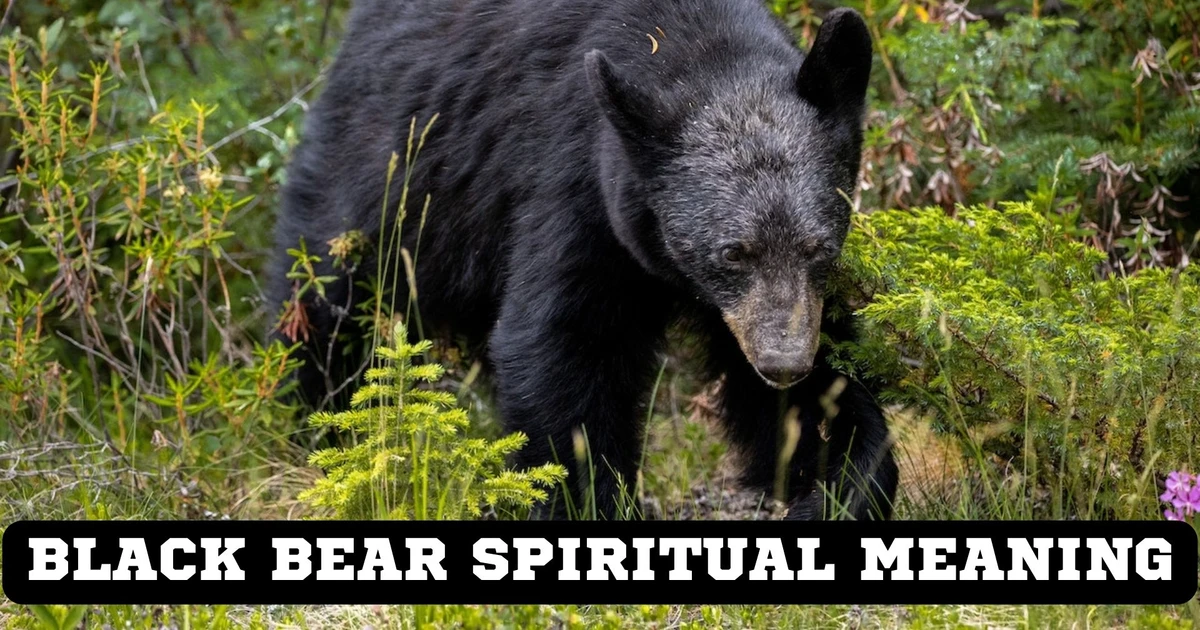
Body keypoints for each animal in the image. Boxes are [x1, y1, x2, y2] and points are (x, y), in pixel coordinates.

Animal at [269, 0, 899, 520]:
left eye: (819, 246)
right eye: (733, 252)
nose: (783, 363)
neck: (698, 43)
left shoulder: (781, 303)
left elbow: (821, 389)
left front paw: (833, 486)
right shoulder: (577, 182)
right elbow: (564, 343)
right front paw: (585, 500)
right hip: (392, 174)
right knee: (327, 298)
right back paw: (316, 426)